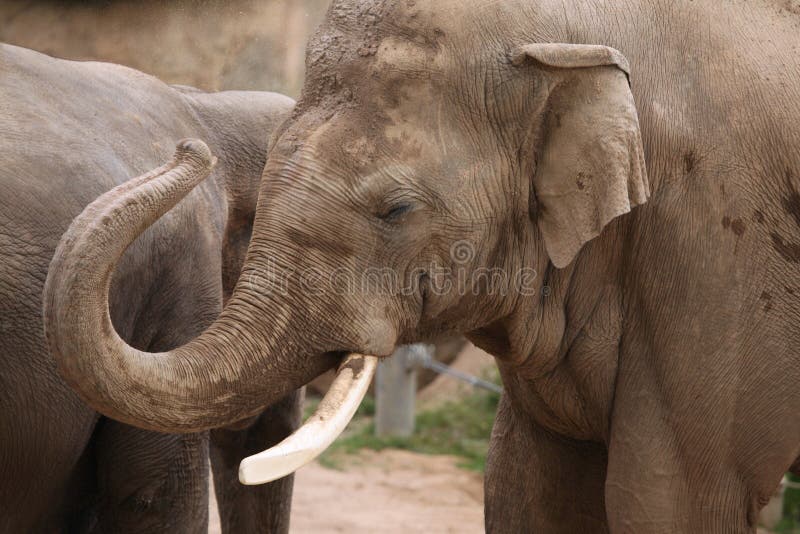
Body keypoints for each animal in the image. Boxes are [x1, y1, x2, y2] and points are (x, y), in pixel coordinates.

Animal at [41, 0, 800, 532]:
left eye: (397, 209)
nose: (190, 149)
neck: (576, 35)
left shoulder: (713, 247)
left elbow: (671, 498)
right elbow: (528, 487)